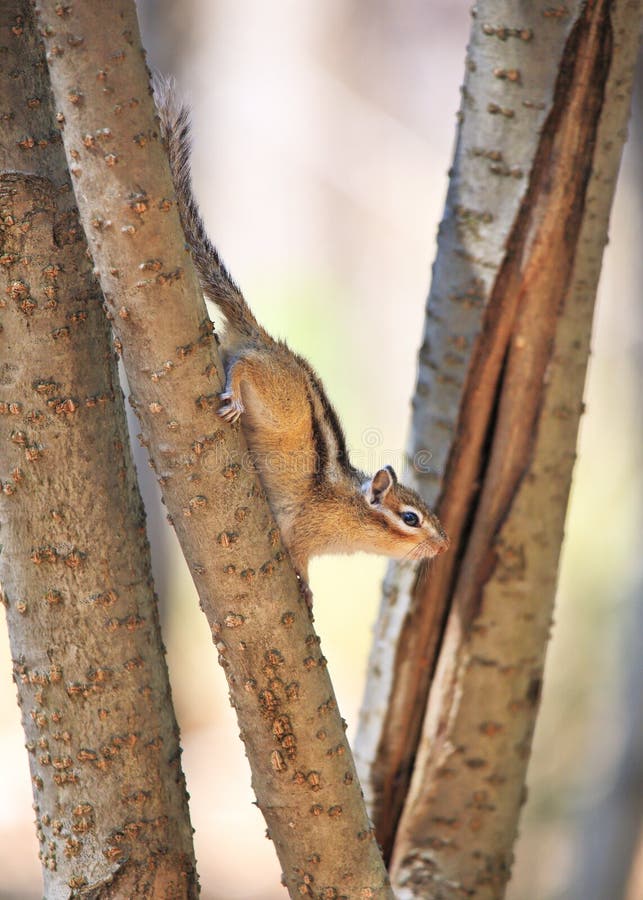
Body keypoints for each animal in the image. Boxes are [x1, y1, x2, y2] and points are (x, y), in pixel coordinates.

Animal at [154, 79, 449, 595]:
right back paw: (234, 394)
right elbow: (301, 559)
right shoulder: (305, 532)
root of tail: (265, 337)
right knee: (246, 365)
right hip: (279, 397)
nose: (444, 545)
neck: (350, 508)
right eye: (411, 517)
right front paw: (308, 592)